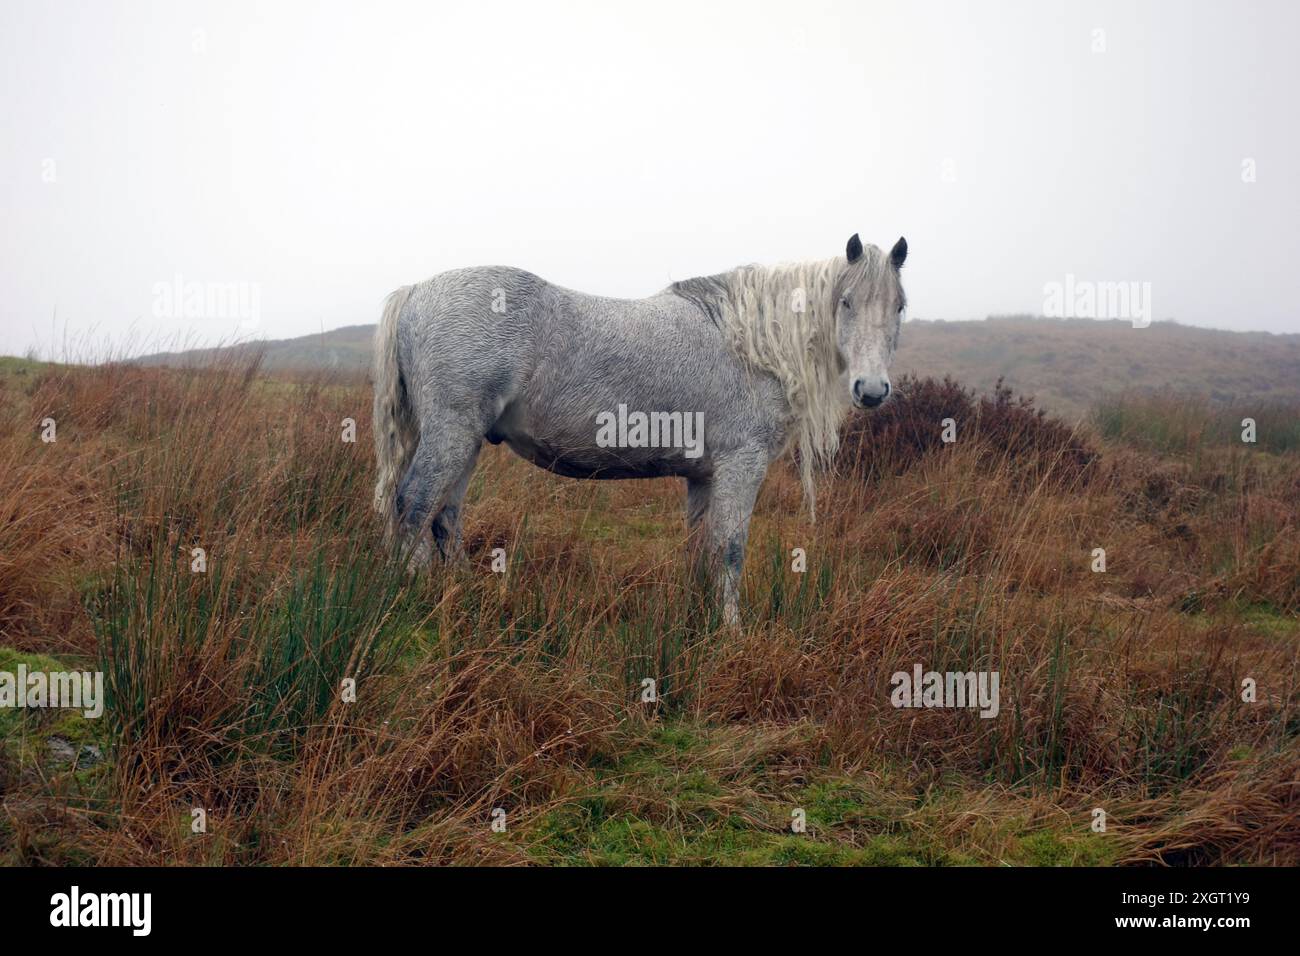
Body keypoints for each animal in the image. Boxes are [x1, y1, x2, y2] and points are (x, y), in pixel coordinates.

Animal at [372, 233, 908, 623]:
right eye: (845, 302)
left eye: (899, 306)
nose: (872, 390)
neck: (753, 344)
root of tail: (416, 292)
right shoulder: (742, 465)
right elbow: (730, 549)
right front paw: (731, 631)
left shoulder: (705, 476)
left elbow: (702, 549)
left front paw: (698, 620)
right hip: (452, 432)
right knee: (414, 505)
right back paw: (412, 595)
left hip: (467, 441)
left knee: (445, 516)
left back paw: (460, 595)